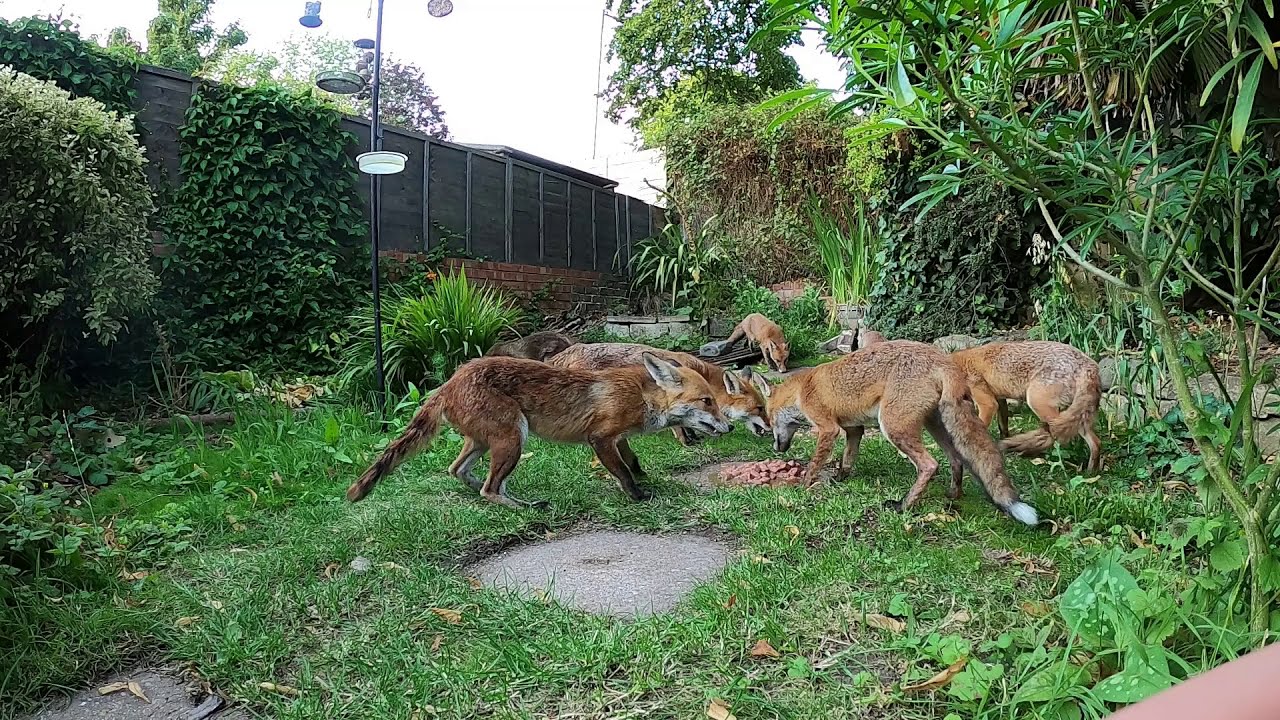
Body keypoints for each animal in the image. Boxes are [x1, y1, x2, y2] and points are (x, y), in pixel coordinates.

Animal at [346, 354, 731, 508]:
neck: (642, 395)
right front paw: (637, 496)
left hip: (486, 442)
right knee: (489, 488)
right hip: (514, 437)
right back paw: (525, 507)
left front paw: (643, 480)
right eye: (707, 401)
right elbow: (622, 472)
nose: (728, 427)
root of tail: (449, 382)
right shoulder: (600, 437)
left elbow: (631, 462)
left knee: (459, 471)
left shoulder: (617, 438)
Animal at [759, 340, 1039, 525]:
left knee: (930, 464)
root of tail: (942, 360)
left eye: (769, 420)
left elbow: (816, 463)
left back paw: (903, 505)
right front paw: (840, 479)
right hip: (936, 426)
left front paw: (803, 486)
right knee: (956, 459)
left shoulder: (828, 428)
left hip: (893, 426)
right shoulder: (854, 428)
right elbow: (847, 459)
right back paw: (953, 495)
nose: (775, 447)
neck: (802, 389)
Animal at [949, 341, 1102, 473]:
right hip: (1076, 416)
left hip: (1037, 402)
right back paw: (1091, 472)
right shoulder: (1000, 400)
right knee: (1096, 442)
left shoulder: (987, 403)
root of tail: (1088, 364)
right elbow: (1003, 427)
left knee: (1055, 434)